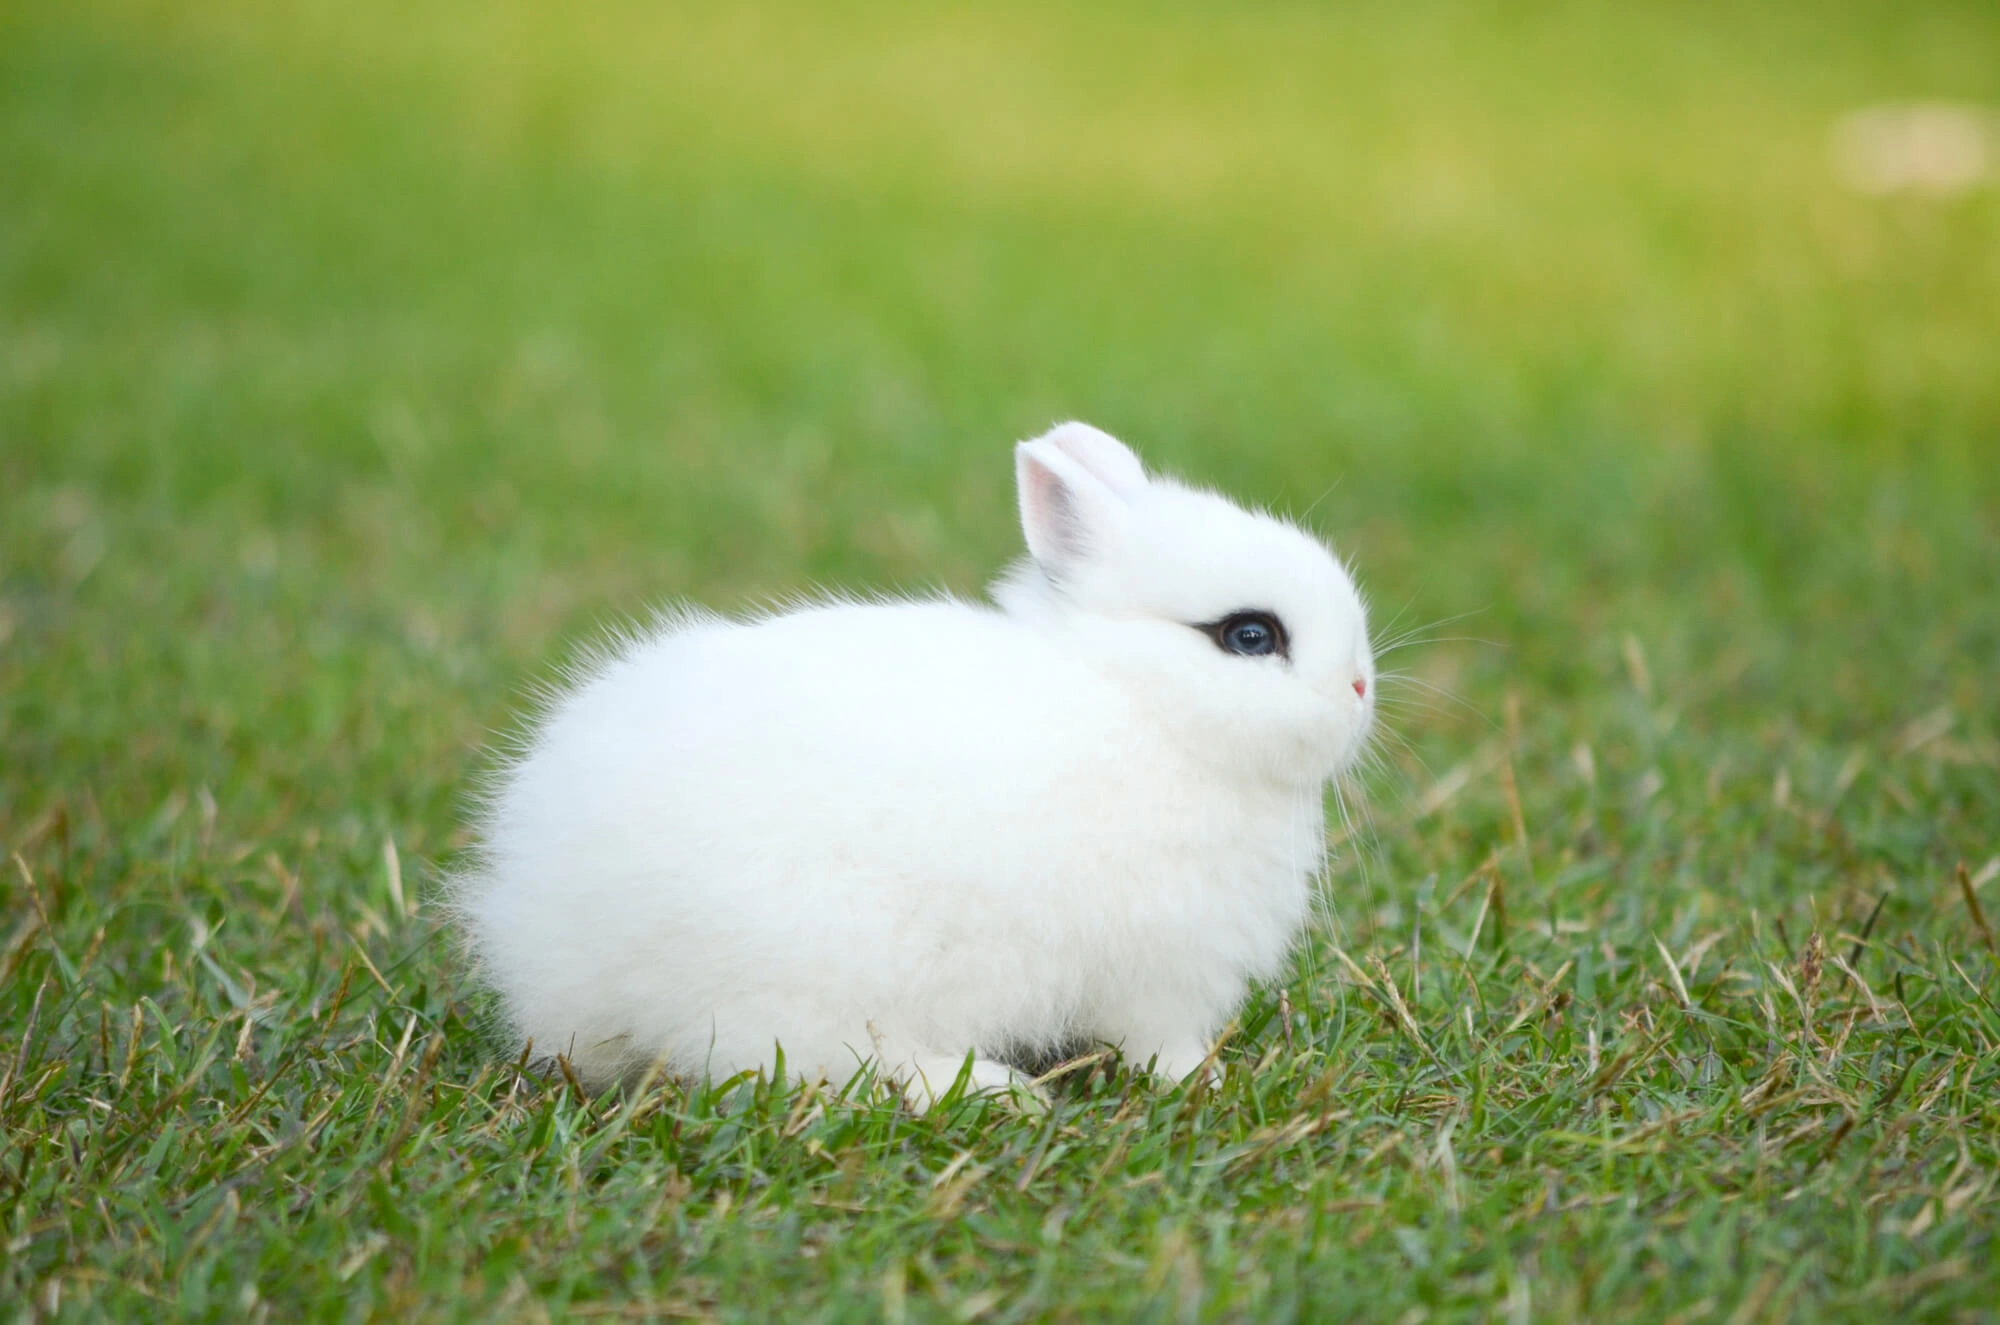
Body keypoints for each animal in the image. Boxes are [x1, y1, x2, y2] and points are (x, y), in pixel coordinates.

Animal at [455, 423, 1376, 1105]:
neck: (1145, 703)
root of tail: (550, 942)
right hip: (825, 968)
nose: (1363, 688)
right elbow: (1162, 1043)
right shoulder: (1160, 969)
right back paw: (992, 1090)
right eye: (1250, 635)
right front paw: (1205, 1079)